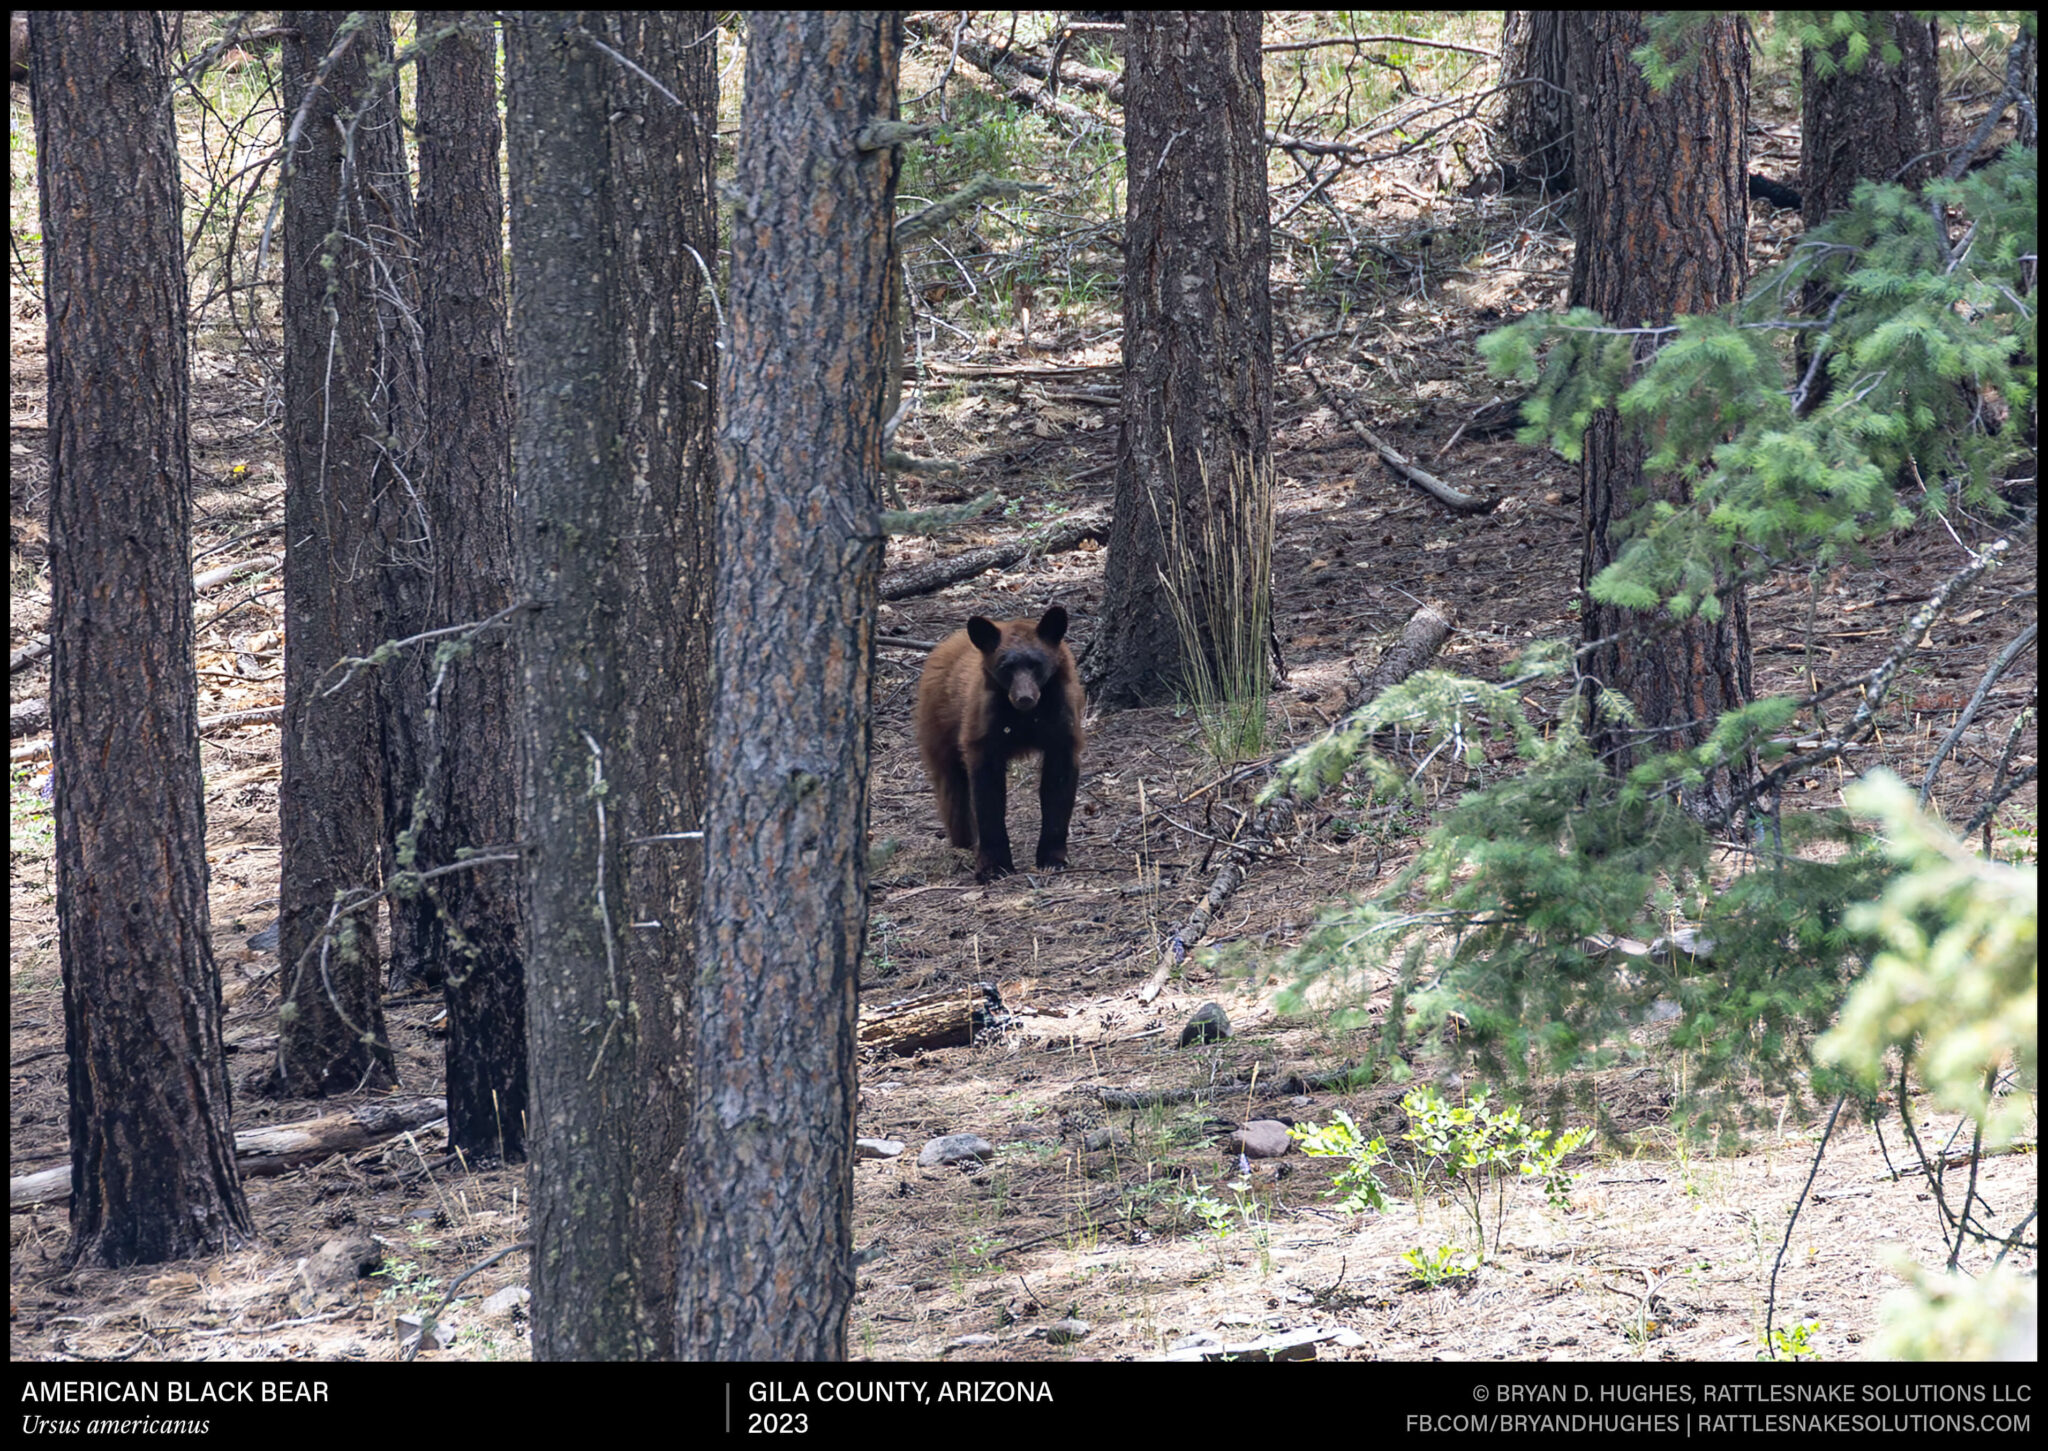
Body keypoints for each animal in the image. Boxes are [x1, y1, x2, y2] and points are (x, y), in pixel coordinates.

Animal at [914, 605, 1085, 883]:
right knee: (952, 787)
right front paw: (993, 866)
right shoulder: (984, 727)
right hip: (939, 726)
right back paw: (963, 843)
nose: (1024, 698)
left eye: (1036, 664)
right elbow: (988, 794)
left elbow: (1058, 785)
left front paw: (1053, 858)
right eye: (1006, 666)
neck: (1025, 717)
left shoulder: (1061, 721)